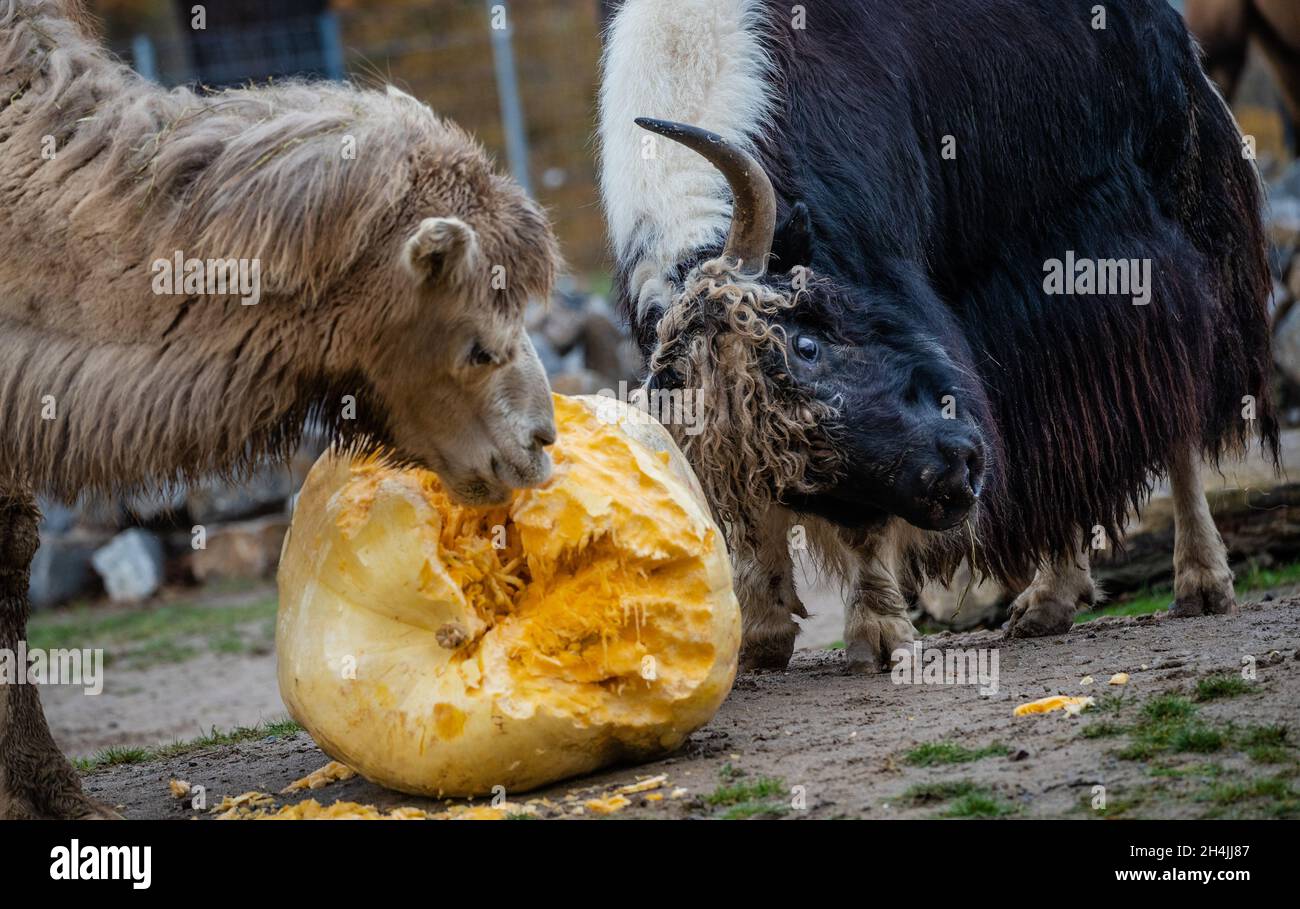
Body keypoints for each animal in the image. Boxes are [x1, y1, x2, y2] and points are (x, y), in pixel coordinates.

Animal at [597, 0, 1277, 672]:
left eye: (806, 346)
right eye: (789, 478)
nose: (953, 479)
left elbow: (866, 524)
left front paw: (880, 633)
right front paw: (762, 629)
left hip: (1141, 249)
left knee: (1168, 403)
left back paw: (1200, 583)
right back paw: (1049, 603)